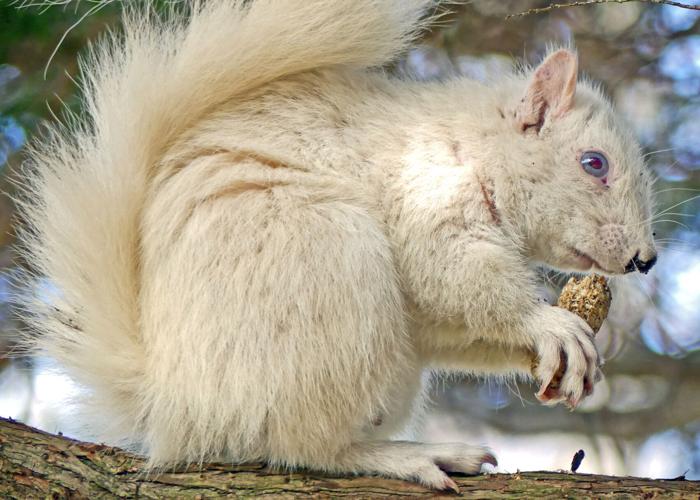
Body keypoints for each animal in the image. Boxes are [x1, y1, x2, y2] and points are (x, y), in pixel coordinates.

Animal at [16, 0, 657, 491]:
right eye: (594, 164)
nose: (644, 260)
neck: (472, 148)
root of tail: (174, 403)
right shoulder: (426, 198)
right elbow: (456, 278)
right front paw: (547, 324)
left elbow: (449, 324)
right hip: (325, 258)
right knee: (306, 445)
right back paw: (409, 455)